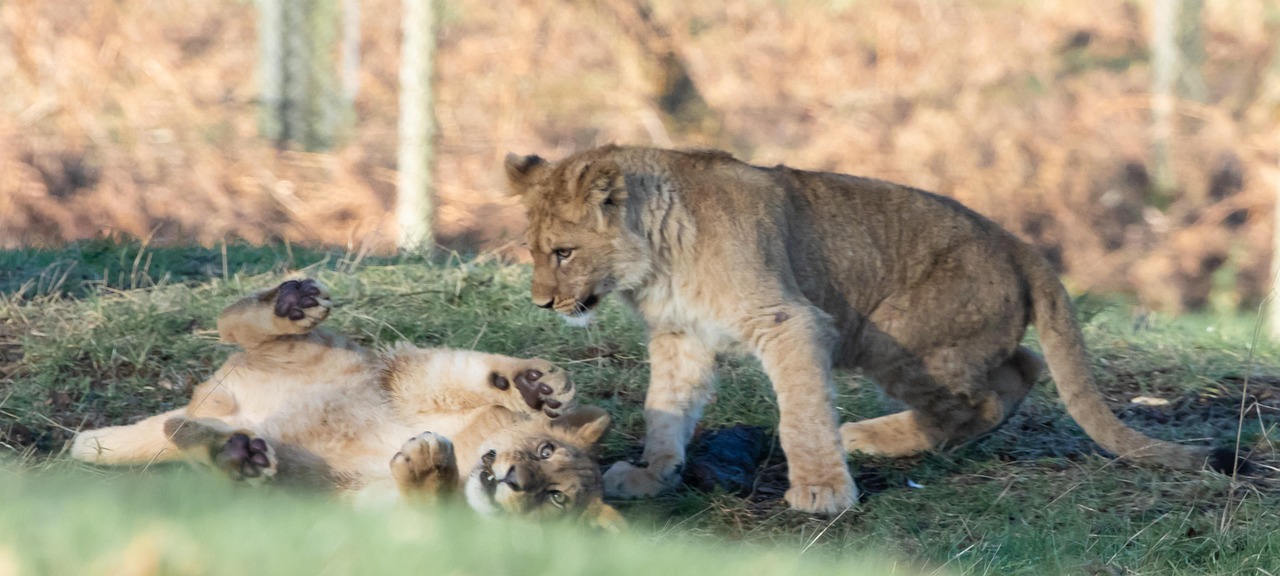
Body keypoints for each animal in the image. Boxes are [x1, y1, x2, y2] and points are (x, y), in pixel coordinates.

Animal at [70, 278, 623, 529]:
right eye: (545, 449)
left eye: (555, 498)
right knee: (235, 320)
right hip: (338, 356)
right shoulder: (416, 388)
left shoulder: (367, 508)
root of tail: (212, 403)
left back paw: (240, 455)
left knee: (193, 442)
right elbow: (466, 373)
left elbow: (430, 504)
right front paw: (537, 387)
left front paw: (427, 465)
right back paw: (291, 303)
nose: (512, 479)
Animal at [503, 144, 1243, 515]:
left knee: (994, 390)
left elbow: (801, 415)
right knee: (1018, 371)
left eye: (562, 252)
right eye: (535, 251)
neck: (656, 261)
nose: (542, 303)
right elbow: (666, 410)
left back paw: (864, 437)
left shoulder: (793, 321)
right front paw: (653, 476)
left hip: (892, 334)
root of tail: (1015, 240)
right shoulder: (681, 339)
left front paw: (822, 493)